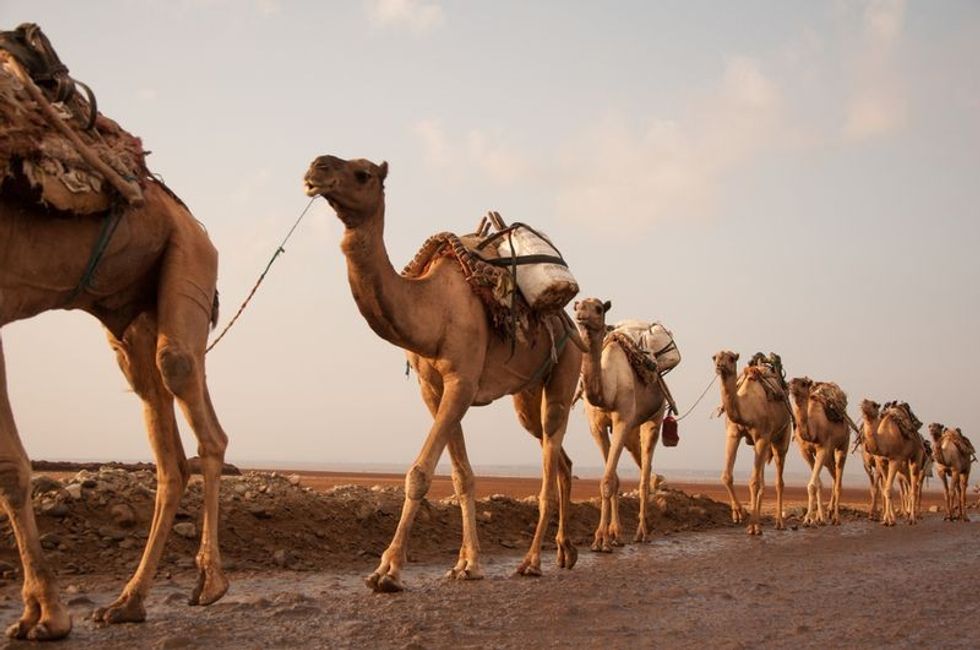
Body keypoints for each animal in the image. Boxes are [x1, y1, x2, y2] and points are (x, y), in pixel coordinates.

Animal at [0, 177, 229, 639]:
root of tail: (197, 224)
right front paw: (35, 614)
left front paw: (47, 615)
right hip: (133, 315)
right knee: (170, 448)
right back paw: (127, 603)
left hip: (189, 256)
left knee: (182, 378)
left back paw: (209, 583)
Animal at [304, 155, 583, 592]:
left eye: (363, 174)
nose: (317, 167)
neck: (431, 307)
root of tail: (570, 325)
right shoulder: (432, 389)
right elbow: (461, 476)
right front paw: (467, 564)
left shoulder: (462, 382)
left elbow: (420, 472)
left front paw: (387, 570)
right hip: (526, 396)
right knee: (561, 463)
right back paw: (565, 552)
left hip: (564, 372)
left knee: (549, 472)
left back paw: (532, 561)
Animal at [574, 298, 666, 551]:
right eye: (576, 305)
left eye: (598, 308)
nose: (581, 314)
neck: (607, 390)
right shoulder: (597, 427)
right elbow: (612, 479)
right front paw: (612, 535)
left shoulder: (623, 420)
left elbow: (607, 480)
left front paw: (601, 540)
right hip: (633, 429)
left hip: (655, 417)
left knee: (645, 474)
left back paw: (643, 533)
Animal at [714, 351, 792, 535]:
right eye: (715, 357)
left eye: (731, 358)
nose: (720, 366)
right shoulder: (733, 433)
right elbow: (727, 476)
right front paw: (739, 513)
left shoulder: (762, 436)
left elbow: (754, 482)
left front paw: (752, 526)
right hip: (765, 443)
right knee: (762, 479)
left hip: (781, 437)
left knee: (779, 480)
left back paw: (779, 523)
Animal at [788, 377, 850, 526]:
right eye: (791, 381)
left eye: (803, 383)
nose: (791, 386)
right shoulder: (805, 451)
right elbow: (817, 484)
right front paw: (815, 518)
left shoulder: (822, 448)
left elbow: (812, 485)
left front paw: (810, 519)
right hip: (829, 456)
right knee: (834, 476)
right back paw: (829, 511)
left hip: (843, 444)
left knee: (838, 481)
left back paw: (836, 518)